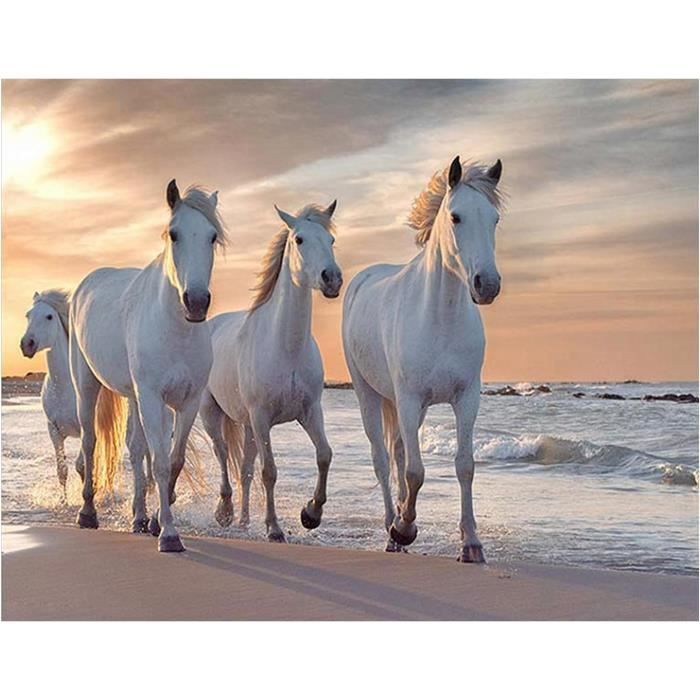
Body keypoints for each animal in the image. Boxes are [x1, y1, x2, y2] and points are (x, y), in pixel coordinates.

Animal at [20, 289, 153, 499]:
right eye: (28, 315)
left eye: (49, 316)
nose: (27, 344)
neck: (63, 388)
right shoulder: (54, 430)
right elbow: (63, 471)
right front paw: (64, 501)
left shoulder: (87, 427)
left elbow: (81, 466)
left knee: (145, 449)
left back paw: (150, 485)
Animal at [69, 180, 226, 552]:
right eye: (174, 234)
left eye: (212, 236)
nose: (196, 302)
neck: (176, 330)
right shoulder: (153, 398)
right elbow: (160, 464)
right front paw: (169, 534)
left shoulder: (186, 402)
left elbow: (172, 460)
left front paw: (156, 522)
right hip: (87, 386)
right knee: (89, 442)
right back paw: (87, 513)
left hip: (133, 397)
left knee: (136, 449)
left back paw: (139, 518)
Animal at [200, 201, 342, 542]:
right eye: (300, 239)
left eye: (331, 240)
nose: (331, 278)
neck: (285, 347)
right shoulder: (262, 417)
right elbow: (270, 472)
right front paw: (275, 528)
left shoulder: (310, 411)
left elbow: (324, 455)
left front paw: (311, 514)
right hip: (213, 414)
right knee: (222, 454)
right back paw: (225, 513)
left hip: (248, 425)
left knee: (245, 469)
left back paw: (243, 521)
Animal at [342, 156, 503, 562]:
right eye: (456, 217)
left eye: (494, 219)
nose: (488, 285)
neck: (441, 317)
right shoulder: (410, 398)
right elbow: (415, 471)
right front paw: (404, 528)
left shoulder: (466, 399)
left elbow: (464, 466)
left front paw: (471, 543)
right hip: (369, 395)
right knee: (383, 459)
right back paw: (392, 528)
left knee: (398, 452)